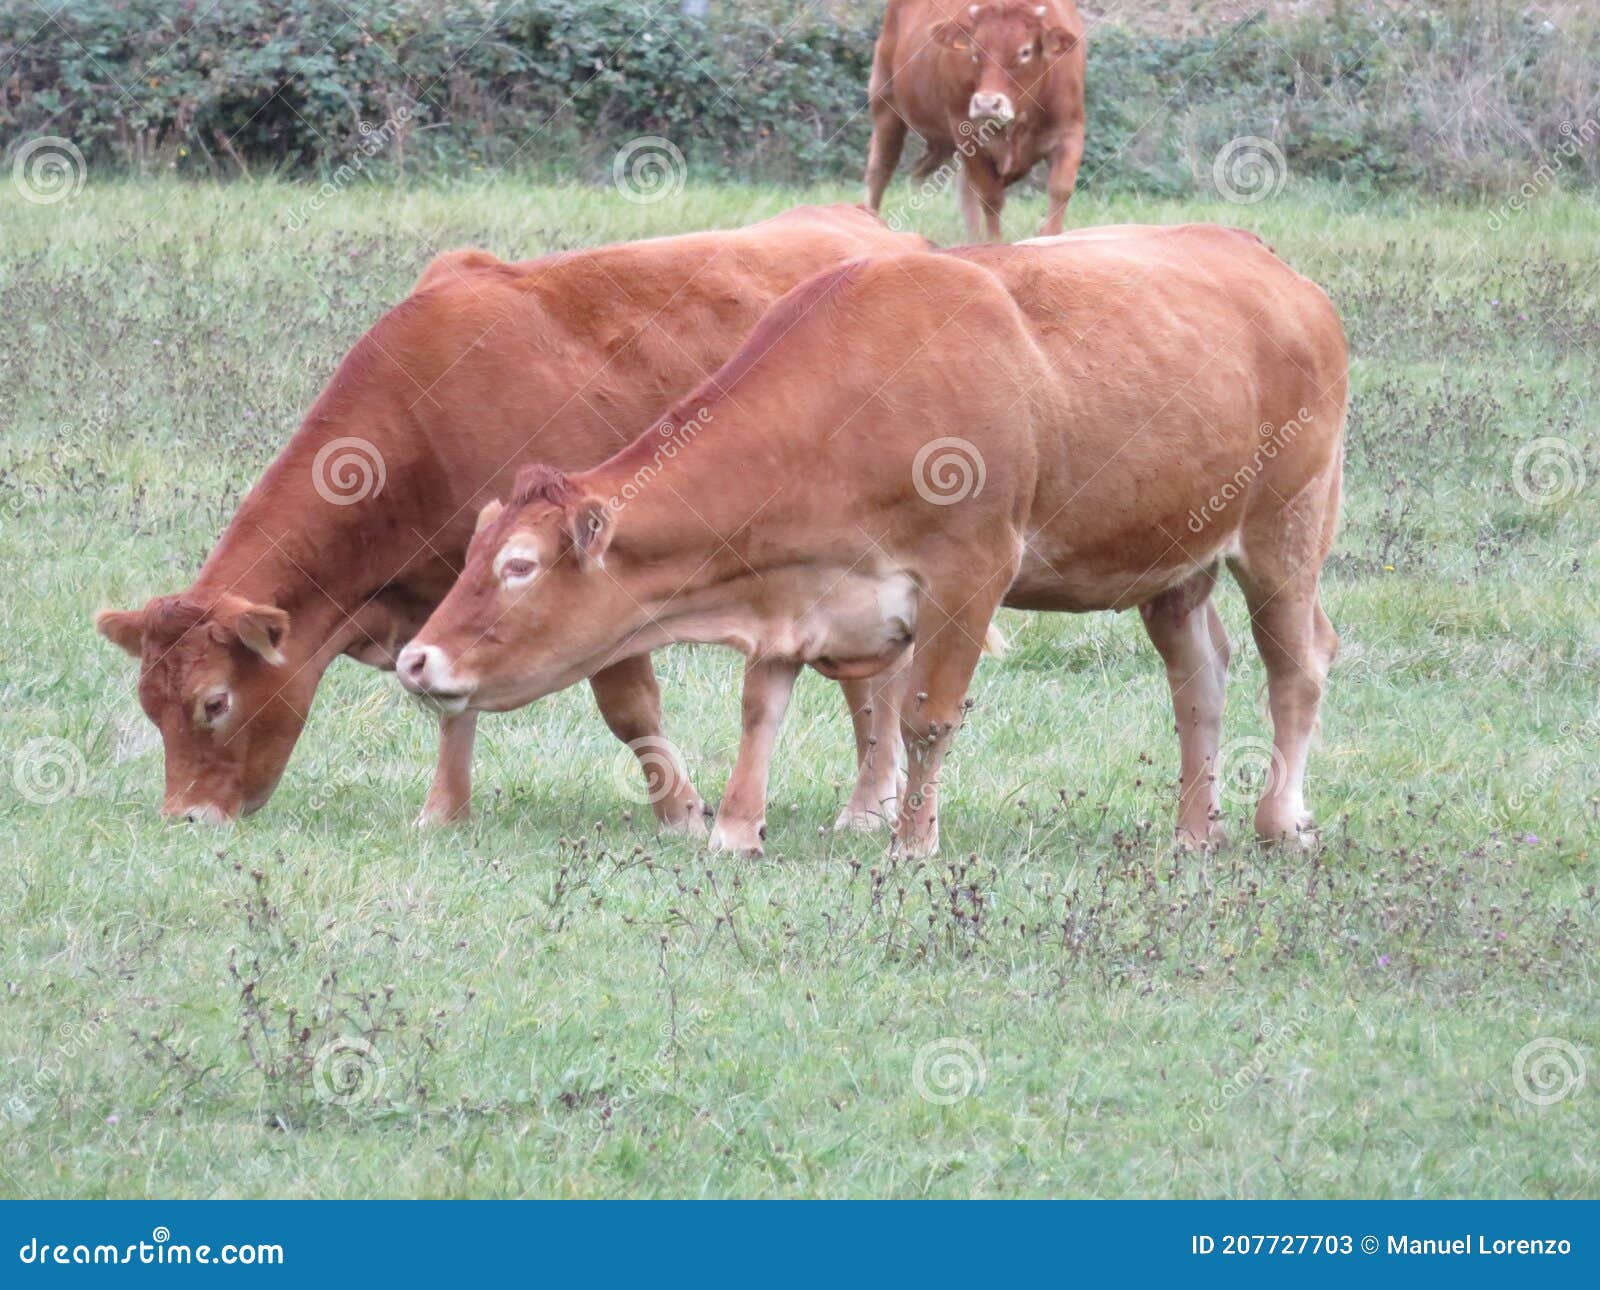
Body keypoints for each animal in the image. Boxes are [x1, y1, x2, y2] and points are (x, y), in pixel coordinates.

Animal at [94, 205, 929, 828]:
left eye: (214, 703)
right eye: (149, 706)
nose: (185, 818)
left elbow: (628, 708)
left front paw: (682, 812)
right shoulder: (450, 598)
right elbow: (447, 698)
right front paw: (444, 811)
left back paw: (868, 804)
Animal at [397, 225, 1347, 858]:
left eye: (519, 567)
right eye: (473, 554)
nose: (414, 659)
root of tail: (1271, 266)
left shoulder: (971, 570)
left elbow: (925, 714)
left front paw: (911, 840)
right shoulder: (793, 591)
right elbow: (762, 704)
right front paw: (735, 829)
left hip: (1285, 532)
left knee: (1297, 665)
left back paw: (1279, 820)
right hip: (1172, 564)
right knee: (1200, 680)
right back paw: (1192, 831)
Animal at [865, 0, 1087, 243]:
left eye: (1025, 51)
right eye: (975, 51)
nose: (987, 104)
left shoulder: (1070, 131)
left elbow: (1060, 189)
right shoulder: (967, 136)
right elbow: (991, 198)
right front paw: (994, 243)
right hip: (884, 101)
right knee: (880, 169)